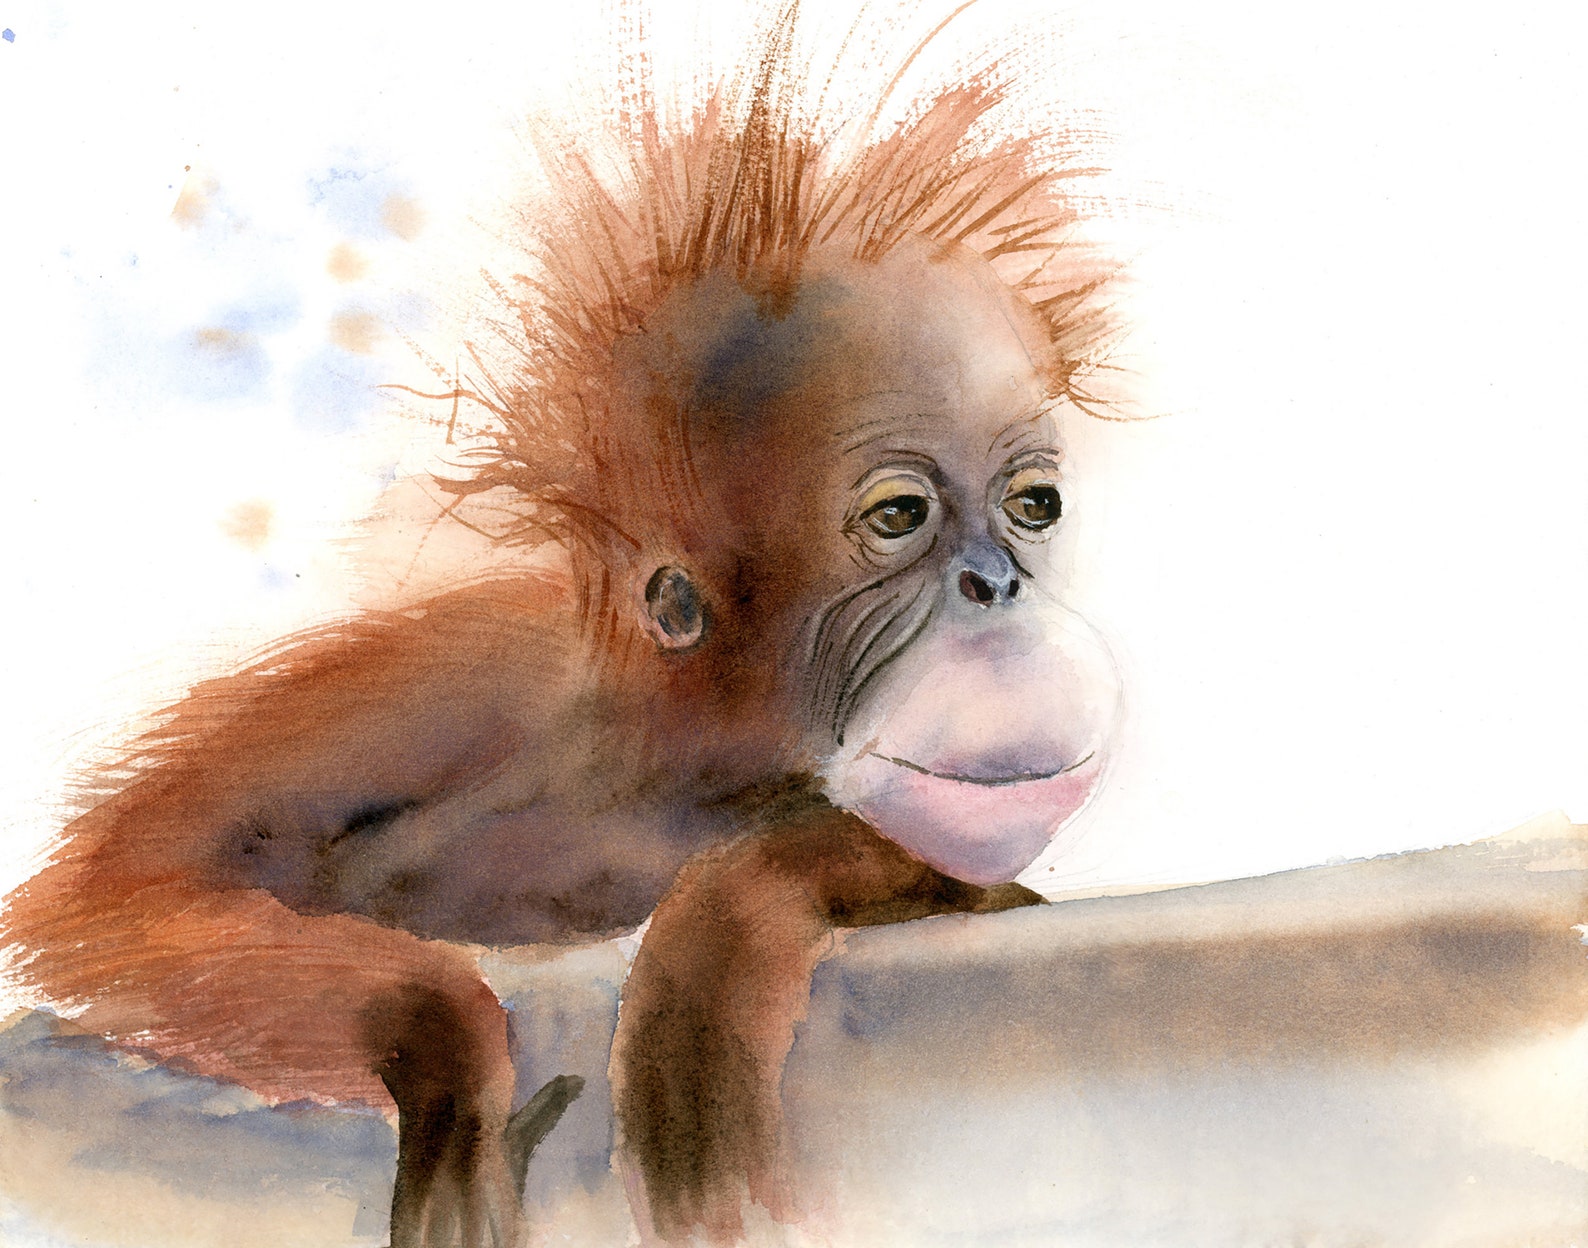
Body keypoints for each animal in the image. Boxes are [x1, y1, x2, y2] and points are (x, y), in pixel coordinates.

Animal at [0, 11, 1121, 1247]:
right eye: (898, 519)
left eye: (1032, 505)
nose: (994, 582)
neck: (679, 754)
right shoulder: (466, 669)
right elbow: (115, 881)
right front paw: (449, 1047)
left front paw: (712, 959)